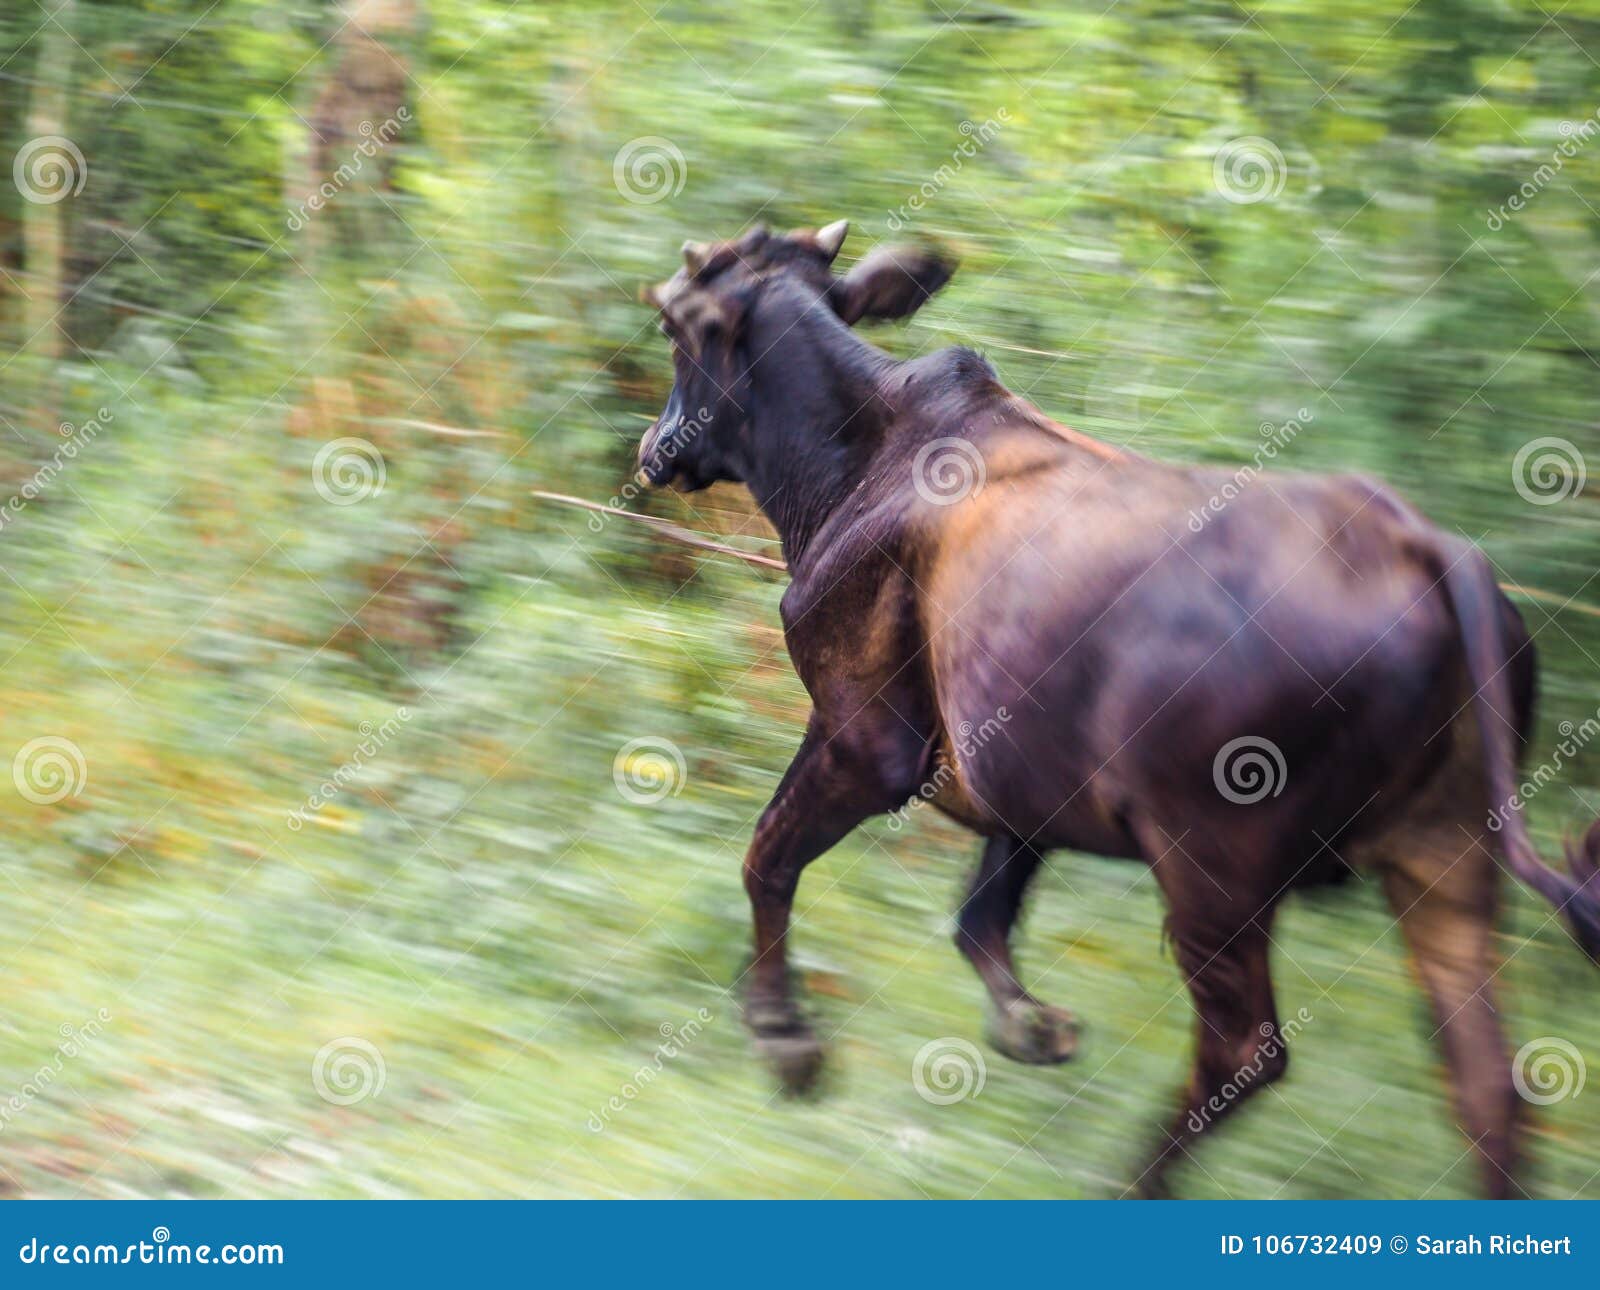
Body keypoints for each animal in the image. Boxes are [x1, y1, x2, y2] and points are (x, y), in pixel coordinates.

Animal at [633, 220, 1600, 1197]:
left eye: (675, 331)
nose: (654, 447)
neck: (852, 463)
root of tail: (1429, 546)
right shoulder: (1019, 782)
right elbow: (979, 920)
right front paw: (1033, 1027)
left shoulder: (866, 741)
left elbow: (766, 859)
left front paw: (786, 1045)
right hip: (1442, 856)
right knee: (1488, 1087)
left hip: (1214, 865)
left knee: (1248, 1050)